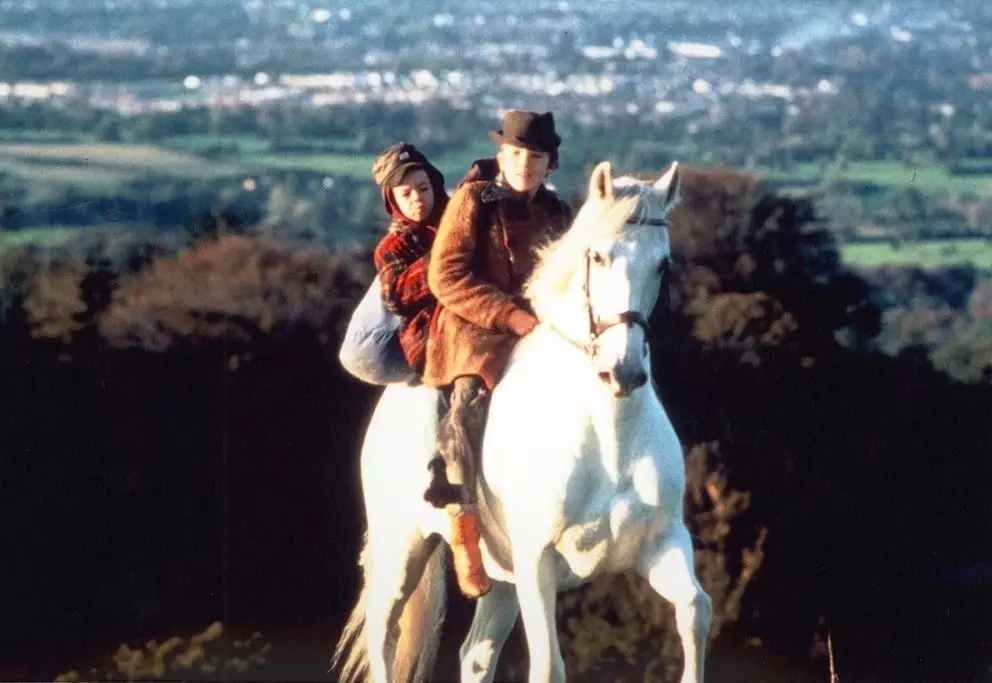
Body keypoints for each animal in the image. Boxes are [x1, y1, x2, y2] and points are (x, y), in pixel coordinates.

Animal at [338, 162, 708, 683]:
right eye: (599, 256)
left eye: (662, 264)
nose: (624, 372)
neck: (609, 437)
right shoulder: (536, 562)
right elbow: (549, 665)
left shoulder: (662, 543)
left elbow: (696, 609)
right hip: (402, 549)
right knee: (381, 637)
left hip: (498, 578)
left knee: (475, 654)